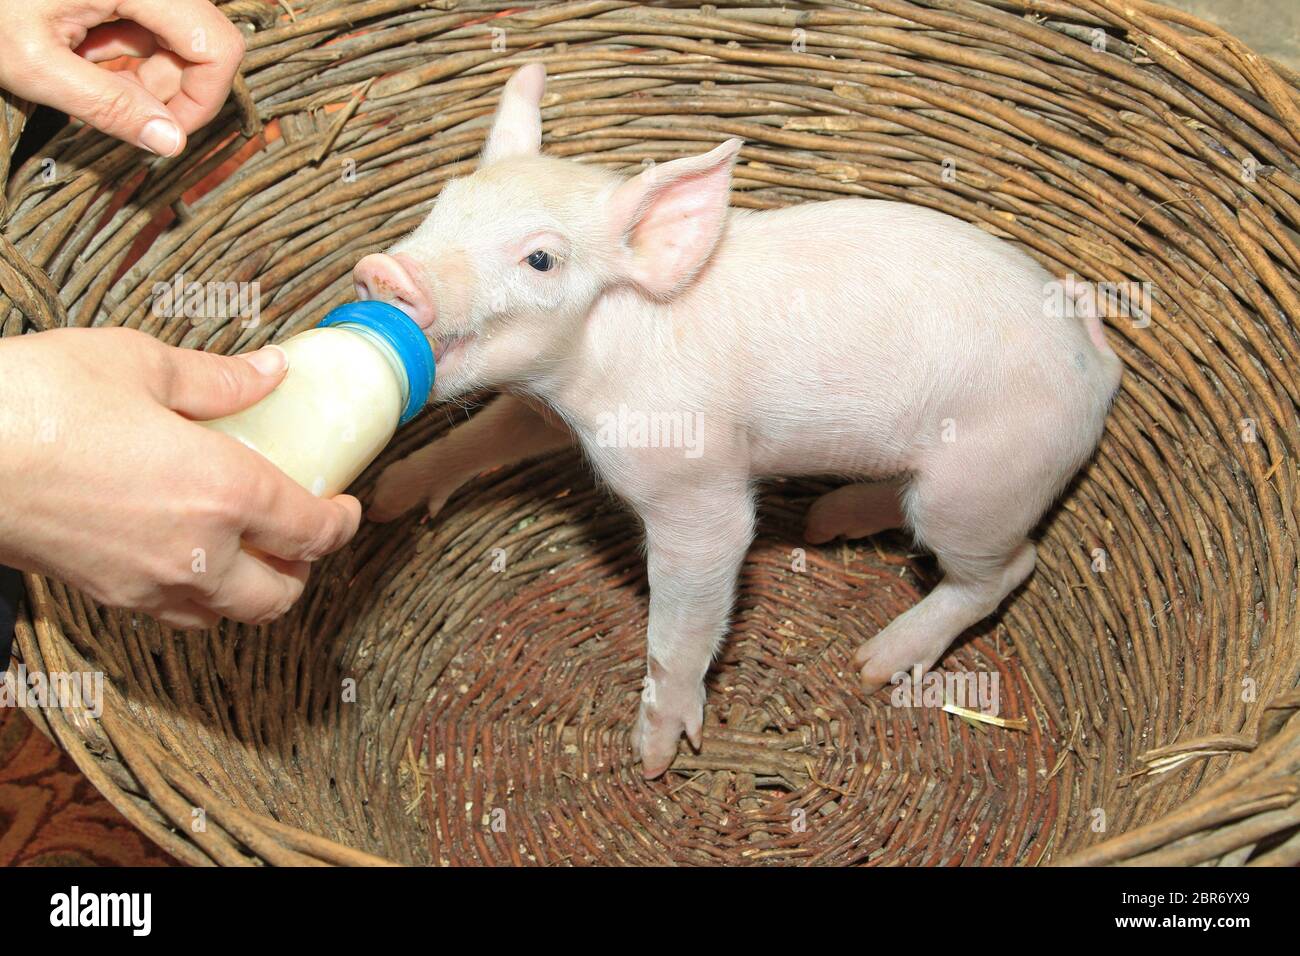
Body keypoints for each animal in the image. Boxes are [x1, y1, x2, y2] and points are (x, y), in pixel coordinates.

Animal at [354, 63, 1122, 779]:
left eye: (541, 259)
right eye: (444, 203)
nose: (385, 269)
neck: (591, 371)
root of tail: (1098, 365)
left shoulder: (696, 488)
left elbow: (689, 610)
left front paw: (654, 757)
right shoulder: (546, 408)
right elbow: (485, 433)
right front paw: (385, 497)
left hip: (984, 483)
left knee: (1005, 566)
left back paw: (873, 662)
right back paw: (825, 522)